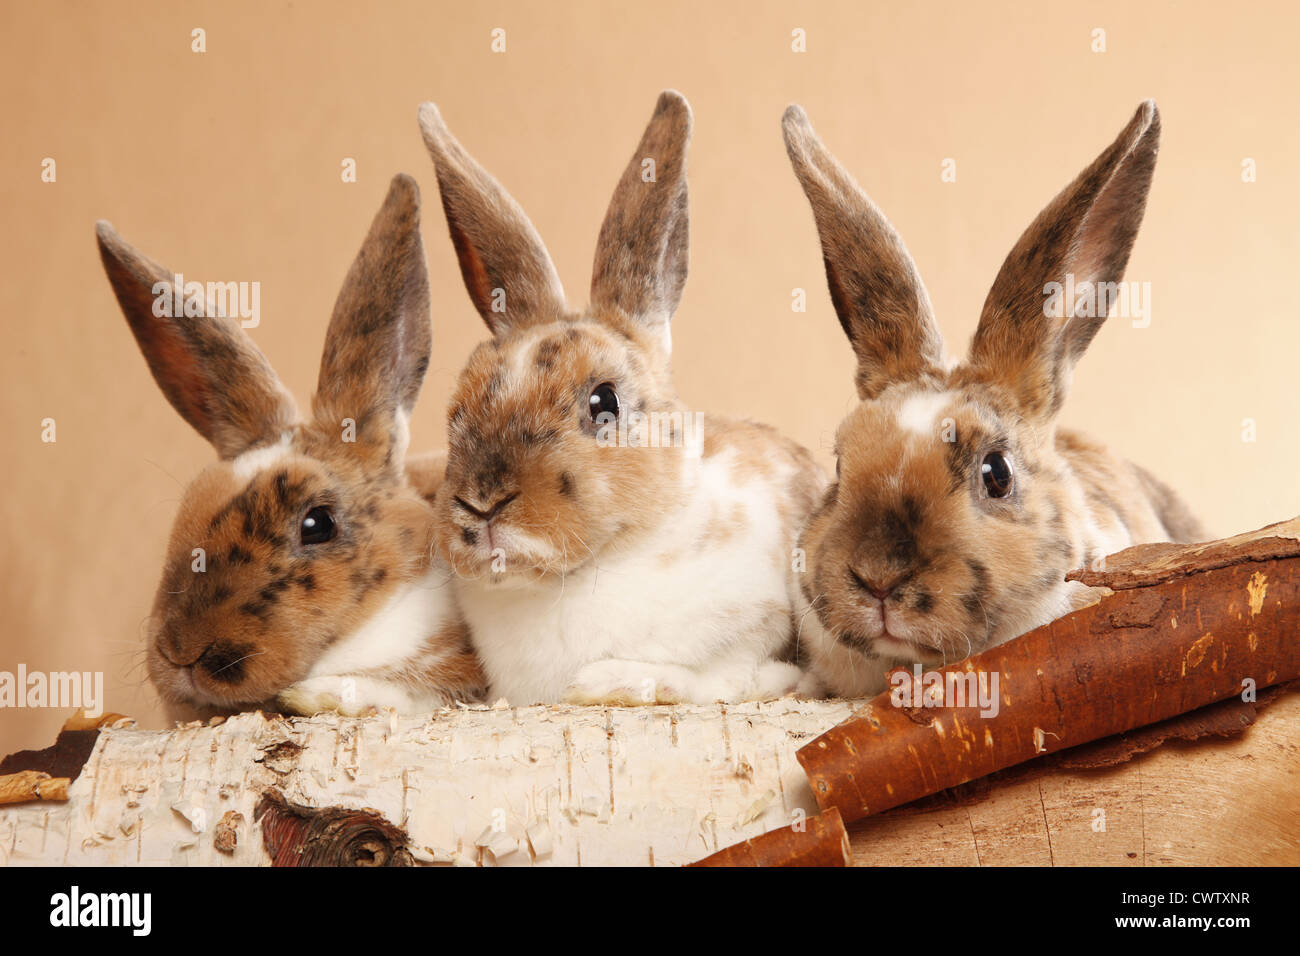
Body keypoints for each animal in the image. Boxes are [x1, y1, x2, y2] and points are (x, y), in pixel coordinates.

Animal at [416, 91, 826, 706]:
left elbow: (723, 677)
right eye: (456, 413)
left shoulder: (760, 629)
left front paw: (600, 682)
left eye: (603, 402)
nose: (483, 502)